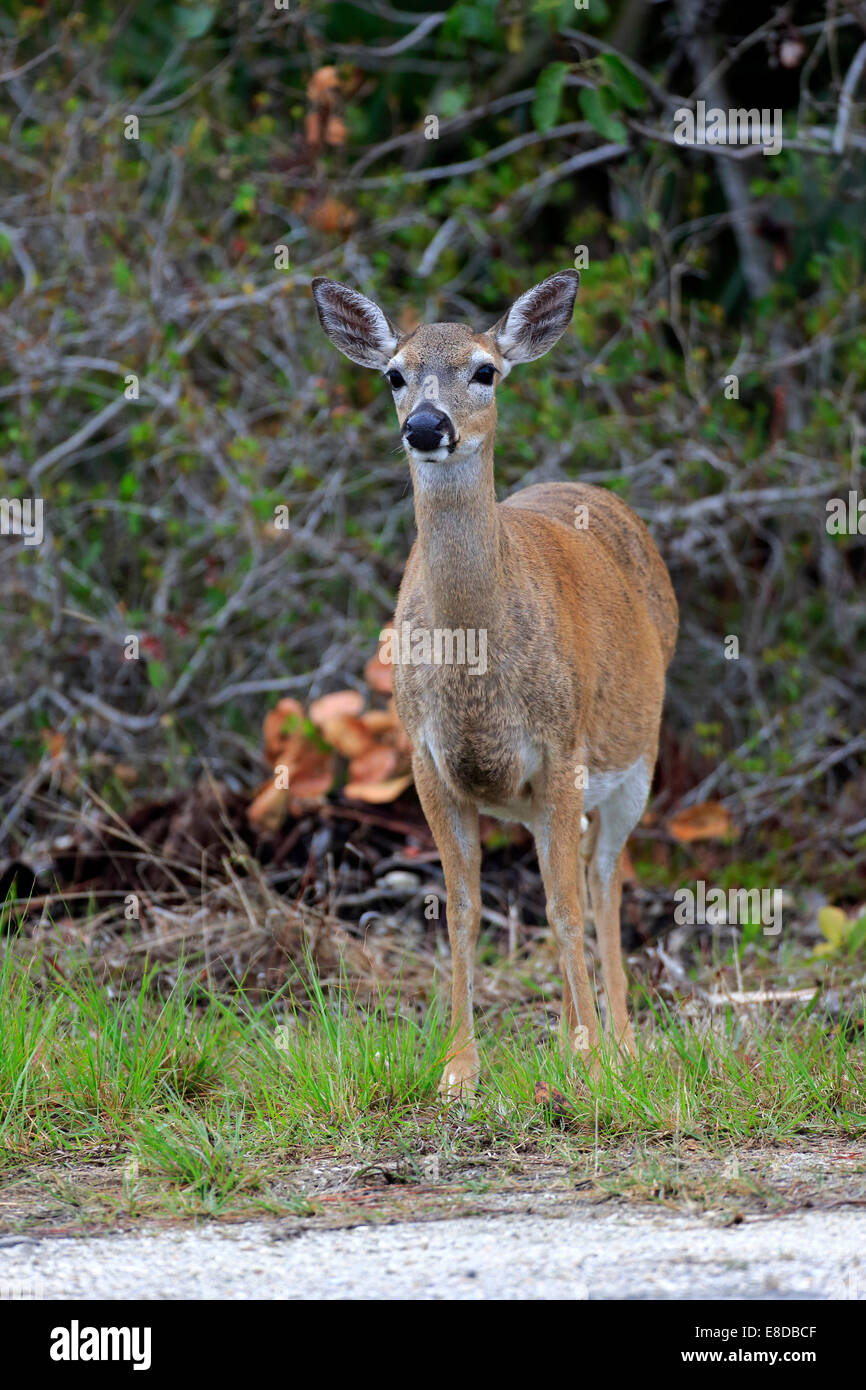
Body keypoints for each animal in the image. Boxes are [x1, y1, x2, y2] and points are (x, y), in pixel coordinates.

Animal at [311, 269, 678, 1100]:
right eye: (394, 374)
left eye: (485, 371)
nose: (425, 426)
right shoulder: (426, 757)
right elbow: (462, 907)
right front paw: (457, 1069)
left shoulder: (561, 746)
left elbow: (565, 906)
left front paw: (590, 1060)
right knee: (570, 874)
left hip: (634, 759)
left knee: (600, 882)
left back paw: (621, 1045)